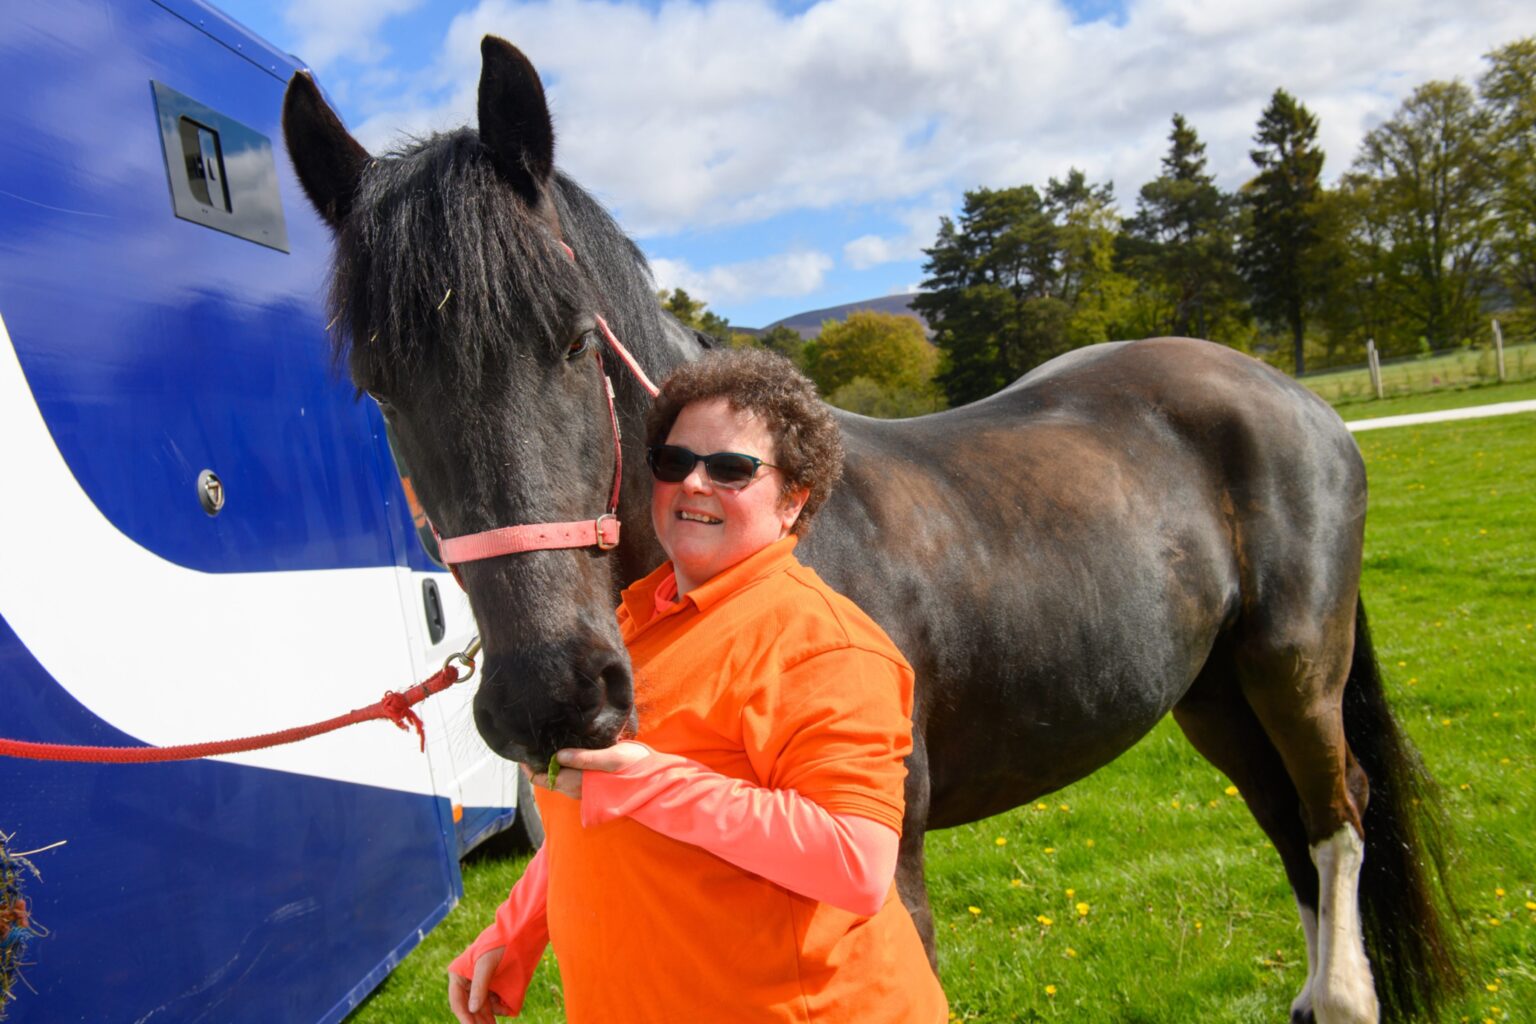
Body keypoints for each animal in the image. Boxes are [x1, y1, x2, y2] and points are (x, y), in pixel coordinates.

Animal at [281, 37, 1461, 1023]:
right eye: (378, 386)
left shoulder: (886, 869)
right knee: (1286, 819)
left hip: (1291, 667)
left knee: (1337, 809)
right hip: (1211, 694)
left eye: (573, 340)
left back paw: (1344, 996)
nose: (552, 696)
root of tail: (1289, 395)